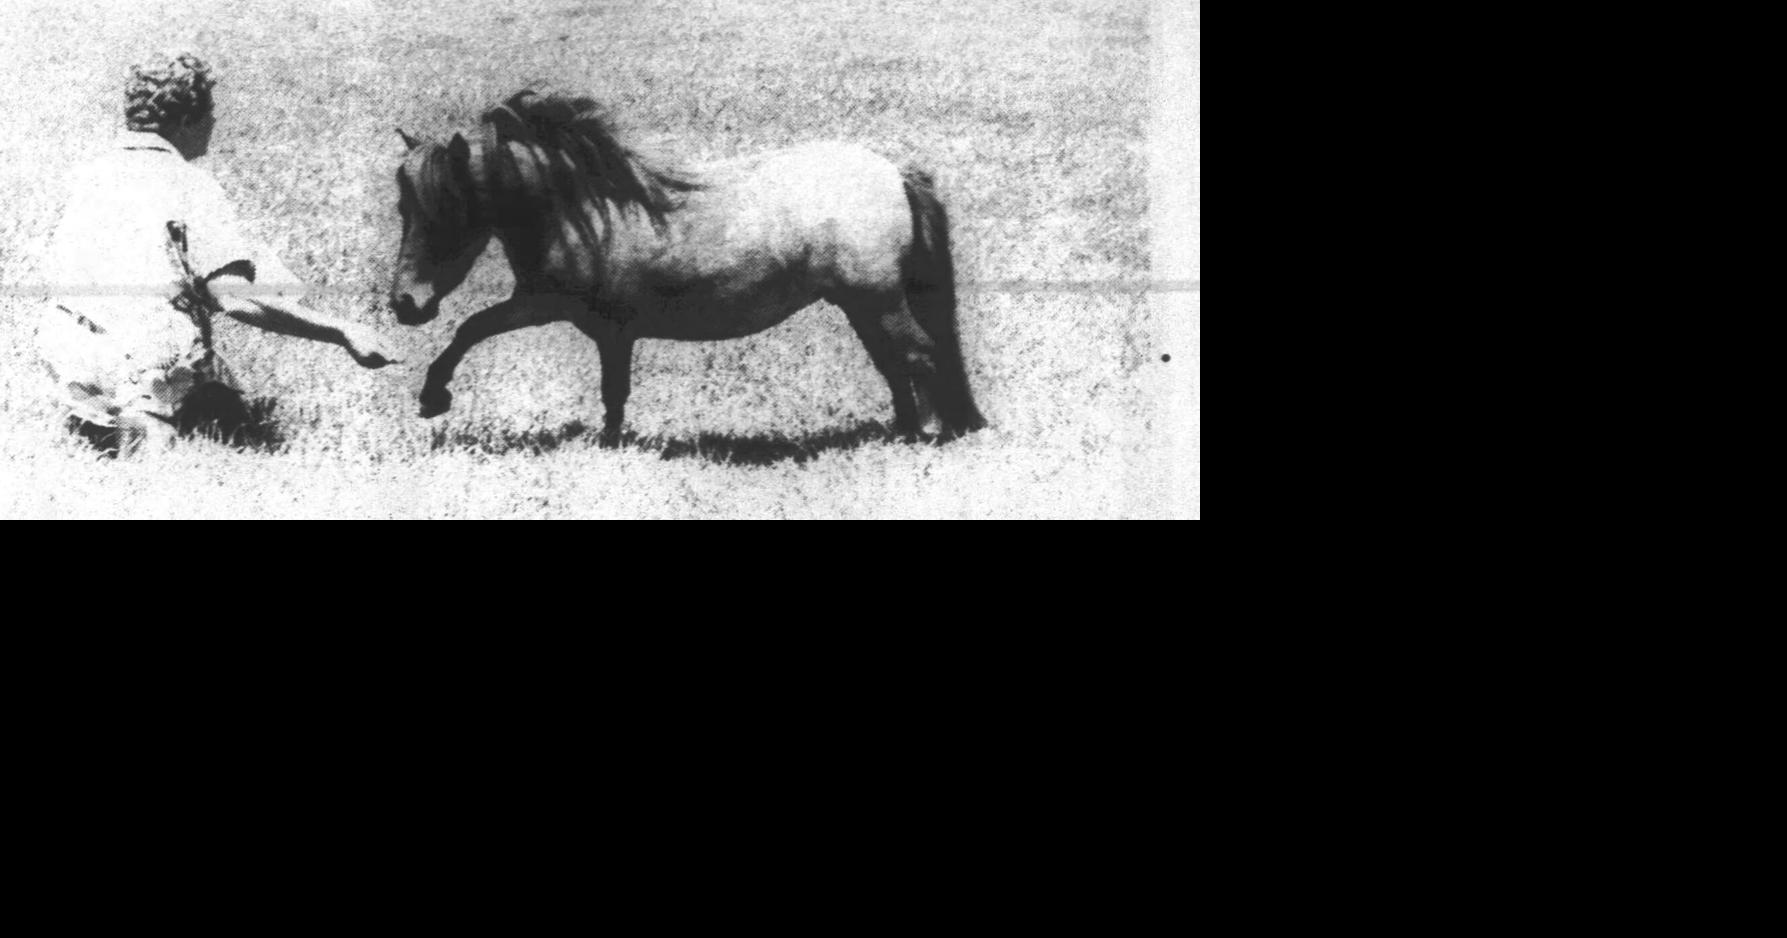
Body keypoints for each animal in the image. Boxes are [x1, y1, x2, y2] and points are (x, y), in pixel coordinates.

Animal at [388, 90, 987, 448]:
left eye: (446, 210)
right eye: (402, 208)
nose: (405, 304)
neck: (584, 213)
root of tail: (895, 173)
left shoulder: (548, 308)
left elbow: (471, 329)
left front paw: (433, 398)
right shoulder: (598, 327)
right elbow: (611, 391)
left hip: (877, 301)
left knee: (921, 355)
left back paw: (940, 435)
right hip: (862, 304)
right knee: (896, 363)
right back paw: (906, 431)